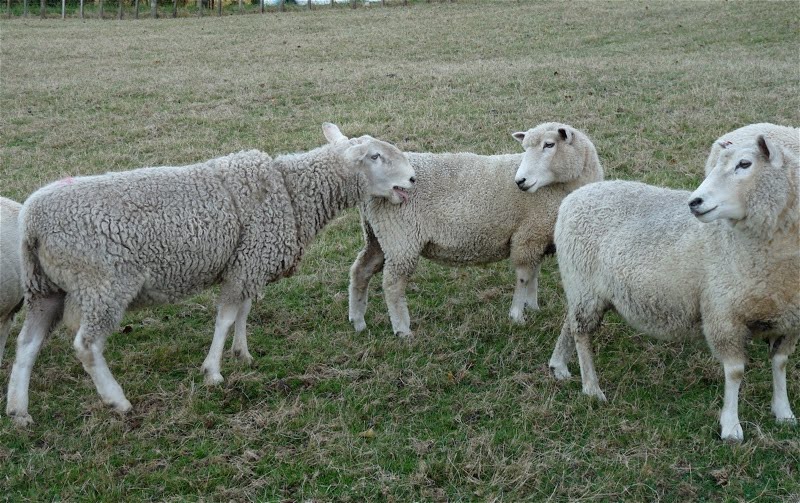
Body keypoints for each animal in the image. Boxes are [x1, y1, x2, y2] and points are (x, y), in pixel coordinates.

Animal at [5, 123, 416, 426]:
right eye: (375, 156)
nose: (412, 179)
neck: (292, 191)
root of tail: (31, 223)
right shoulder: (247, 262)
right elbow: (226, 317)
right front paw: (214, 372)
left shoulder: (249, 263)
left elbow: (244, 312)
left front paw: (242, 353)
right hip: (103, 285)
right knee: (86, 346)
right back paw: (117, 400)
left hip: (45, 289)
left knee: (26, 346)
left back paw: (19, 411)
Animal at [348, 122, 603, 337]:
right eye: (525, 148)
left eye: (549, 144)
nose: (520, 181)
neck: (560, 188)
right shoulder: (528, 235)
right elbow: (524, 276)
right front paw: (517, 315)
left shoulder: (537, 236)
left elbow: (534, 273)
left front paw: (533, 306)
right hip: (401, 237)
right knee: (392, 285)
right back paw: (402, 330)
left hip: (379, 235)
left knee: (361, 270)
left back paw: (358, 321)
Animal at [548, 123, 799, 441]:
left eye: (745, 164)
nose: (695, 202)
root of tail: (575, 197)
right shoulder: (723, 313)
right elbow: (735, 372)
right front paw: (731, 427)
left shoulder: (789, 319)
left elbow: (780, 363)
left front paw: (784, 412)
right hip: (585, 286)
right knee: (582, 333)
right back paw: (591, 388)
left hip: (580, 286)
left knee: (570, 321)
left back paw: (559, 364)